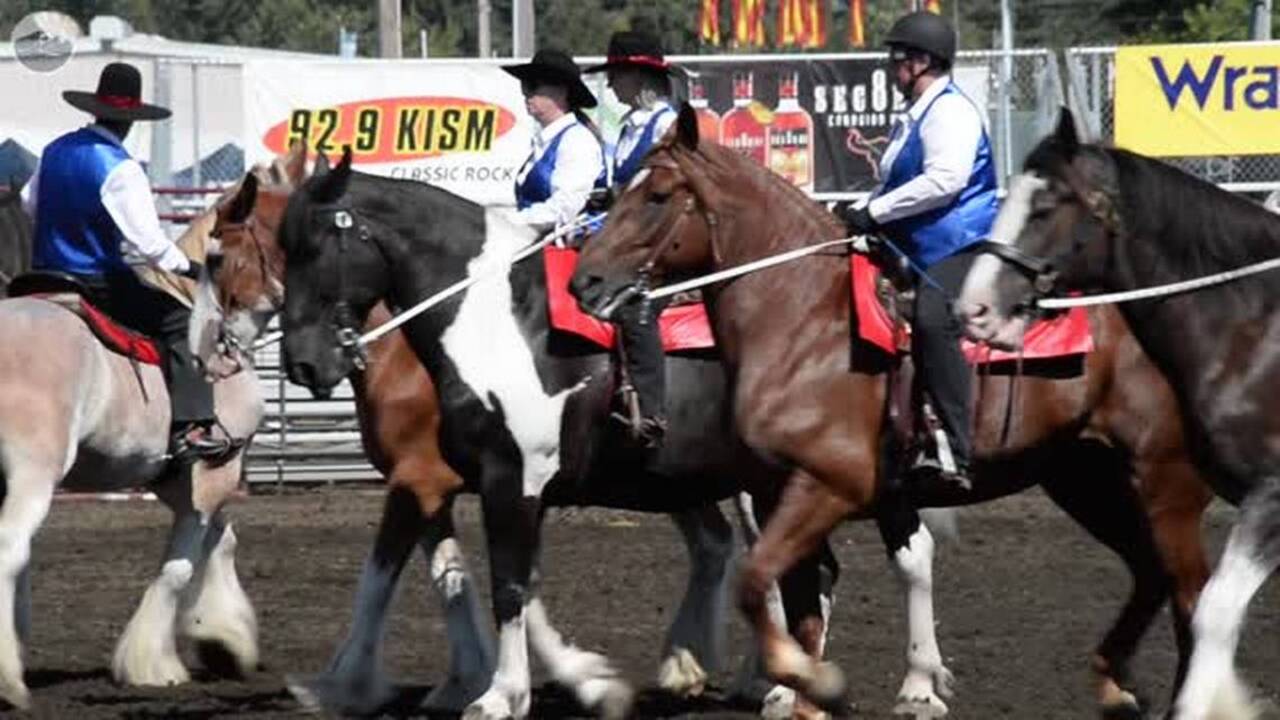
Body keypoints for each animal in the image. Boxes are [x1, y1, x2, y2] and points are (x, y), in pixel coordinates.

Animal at [0, 205, 262, 709]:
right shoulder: (212, 475)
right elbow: (180, 566)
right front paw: (154, 665)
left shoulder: (181, 482)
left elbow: (222, 541)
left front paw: (224, 642)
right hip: (32, 477)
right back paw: (7, 679)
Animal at [568, 105, 1215, 717]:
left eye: (656, 197)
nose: (585, 282)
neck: (804, 323)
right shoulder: (776, 492)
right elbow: (799, 604)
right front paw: (805, 697)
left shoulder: (826, 487)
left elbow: (757, 584)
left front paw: (816, 681)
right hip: (1083, 476)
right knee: (1151, 572)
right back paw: (1120, 687)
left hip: (1163, 476)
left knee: (1192, 591)